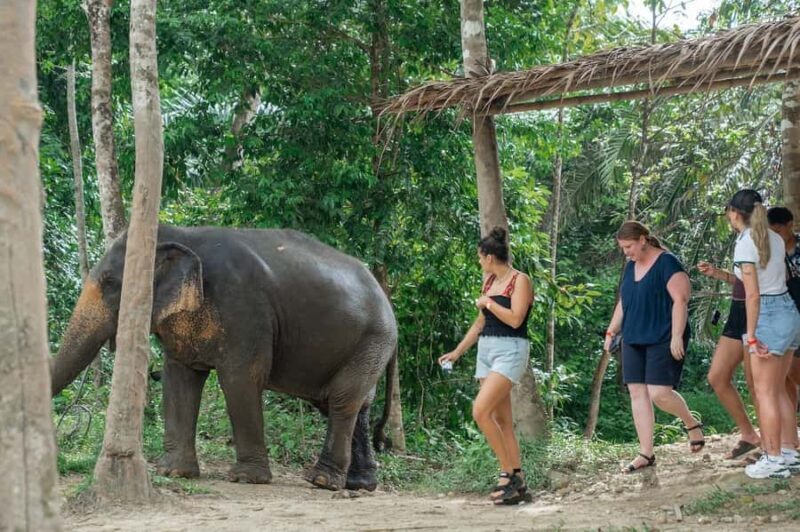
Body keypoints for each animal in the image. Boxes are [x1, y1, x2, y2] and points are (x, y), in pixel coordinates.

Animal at [51, 225, 397, 491]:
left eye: (111, 283)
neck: (182, 234)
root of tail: (385, 295)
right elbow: (180, 379)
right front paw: (173, 472)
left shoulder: (244, 308)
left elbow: (239, 378)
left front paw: (246, 479)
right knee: (349, 403)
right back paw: (360, 485)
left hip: (373, 339)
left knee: (341, 400)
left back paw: (322, 481)